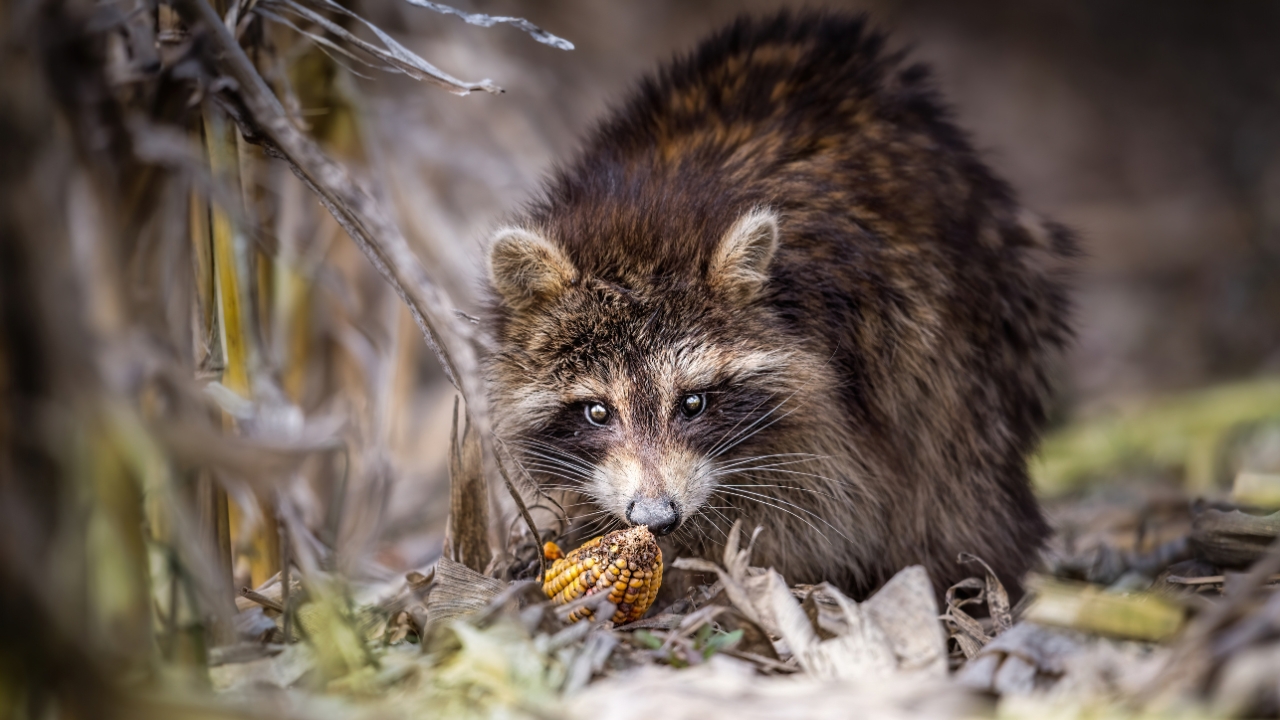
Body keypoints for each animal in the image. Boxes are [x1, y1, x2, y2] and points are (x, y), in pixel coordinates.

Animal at [483, 11, 1073, 598]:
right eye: (597, 411)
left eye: (693, 403)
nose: (656, 518)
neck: (644, 229)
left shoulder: (855, 362)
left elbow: (830, 503)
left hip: (971, 334)